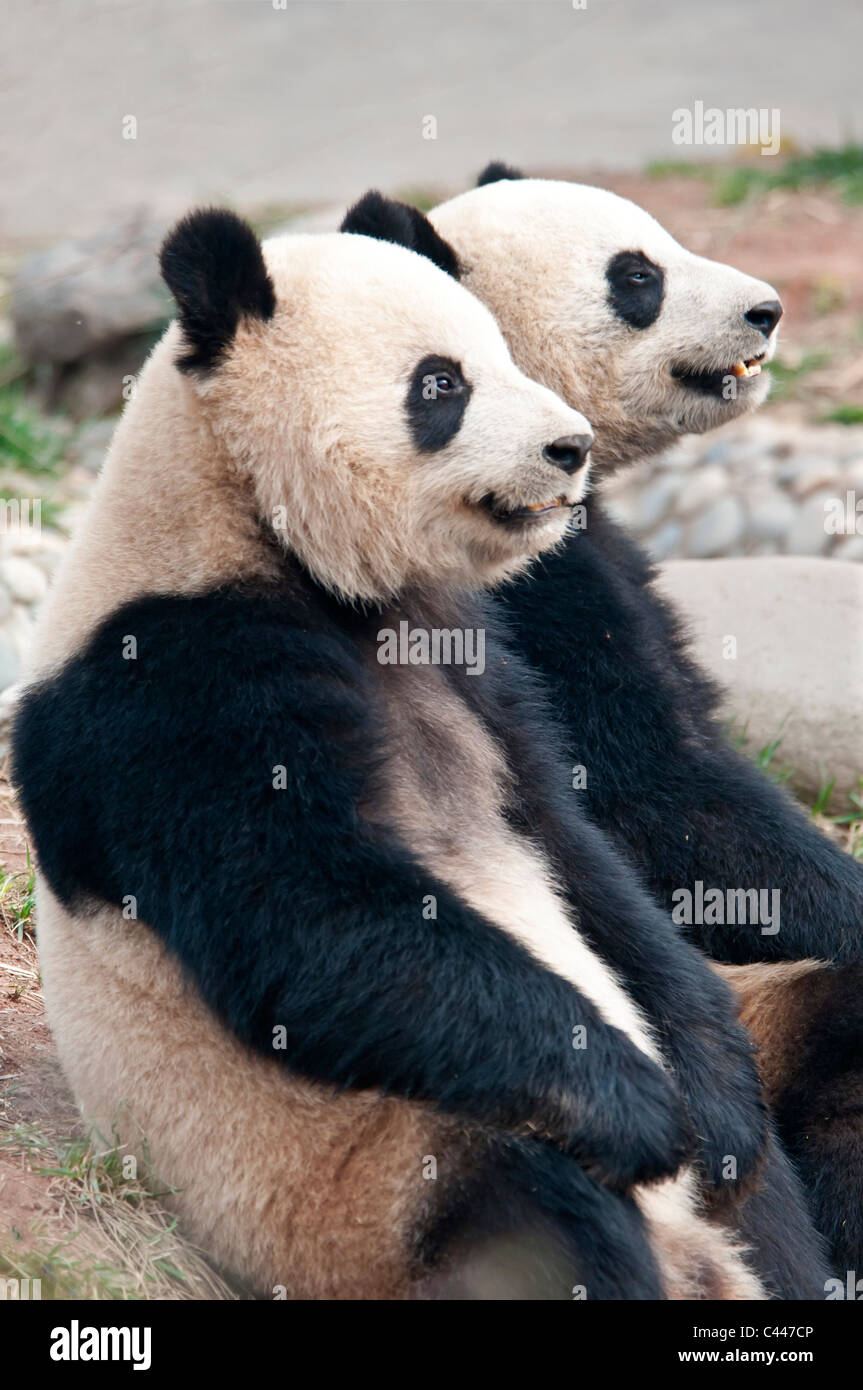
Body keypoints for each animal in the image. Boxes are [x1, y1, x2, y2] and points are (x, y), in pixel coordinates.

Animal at [11, 207, 771, 1300]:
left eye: (506, 354)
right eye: (440, 385)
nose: (568, 447)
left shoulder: (475, 659)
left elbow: (578, 848)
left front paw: (711, 1103)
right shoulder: (169, 679)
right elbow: (310, 917)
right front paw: (635, 1105)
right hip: (364, 1188)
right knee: (544, 1206)